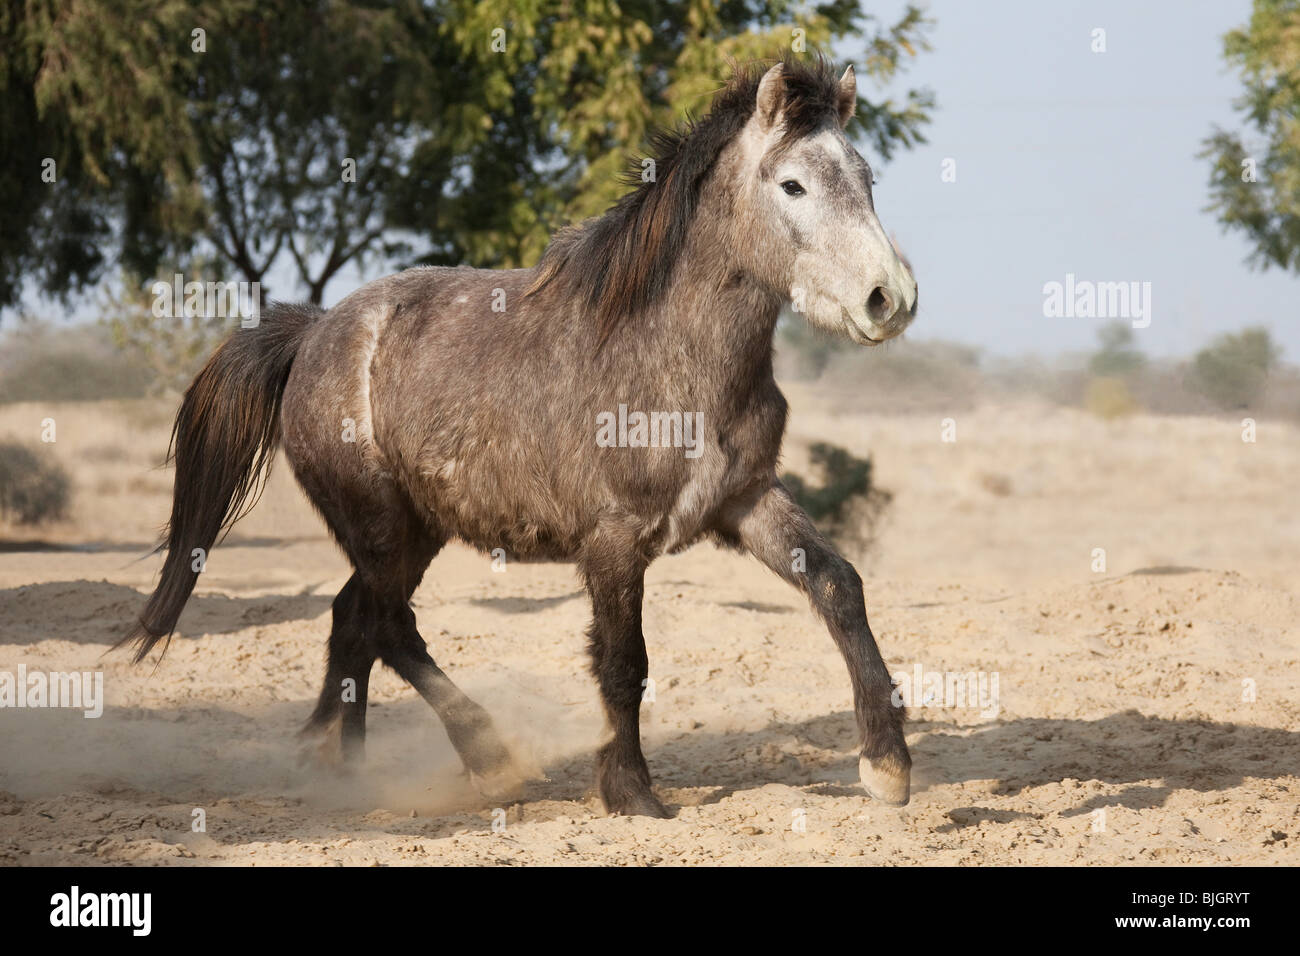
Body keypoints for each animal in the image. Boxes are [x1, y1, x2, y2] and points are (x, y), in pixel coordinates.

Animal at [123, 54, 919, 818]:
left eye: (868, 179)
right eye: (793, 185)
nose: (891, 299)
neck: (668, 356)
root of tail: (314, 331)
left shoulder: (746, 501)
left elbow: (839, 586)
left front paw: (886, 767)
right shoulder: (614, 542)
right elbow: (624, 663)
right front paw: (631, 792)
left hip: (415, 531)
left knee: (354, 620)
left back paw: (340, 765)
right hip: (378, 524)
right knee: (386, 624)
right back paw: (487, 758)